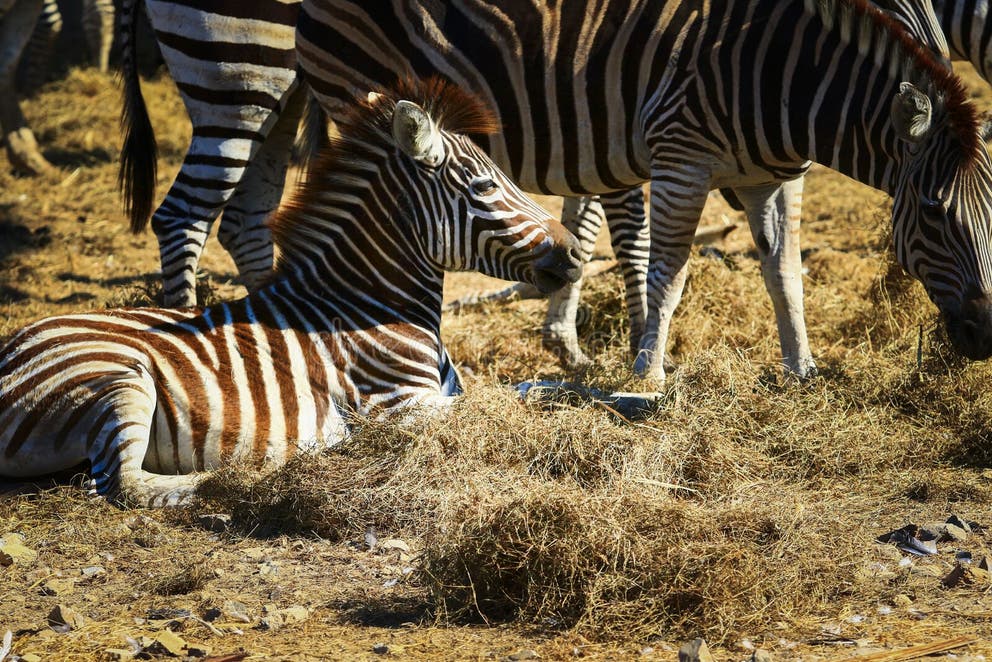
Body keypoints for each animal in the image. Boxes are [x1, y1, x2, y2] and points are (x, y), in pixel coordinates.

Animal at [0, 77, 583, 507]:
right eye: (485, 187)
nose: (576, 254)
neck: (365, 302)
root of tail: (11, 349)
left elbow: (536, 391)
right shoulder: (399, 405)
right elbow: (509, 407)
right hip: (120, 381)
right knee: (124, 484)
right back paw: (244, 478)